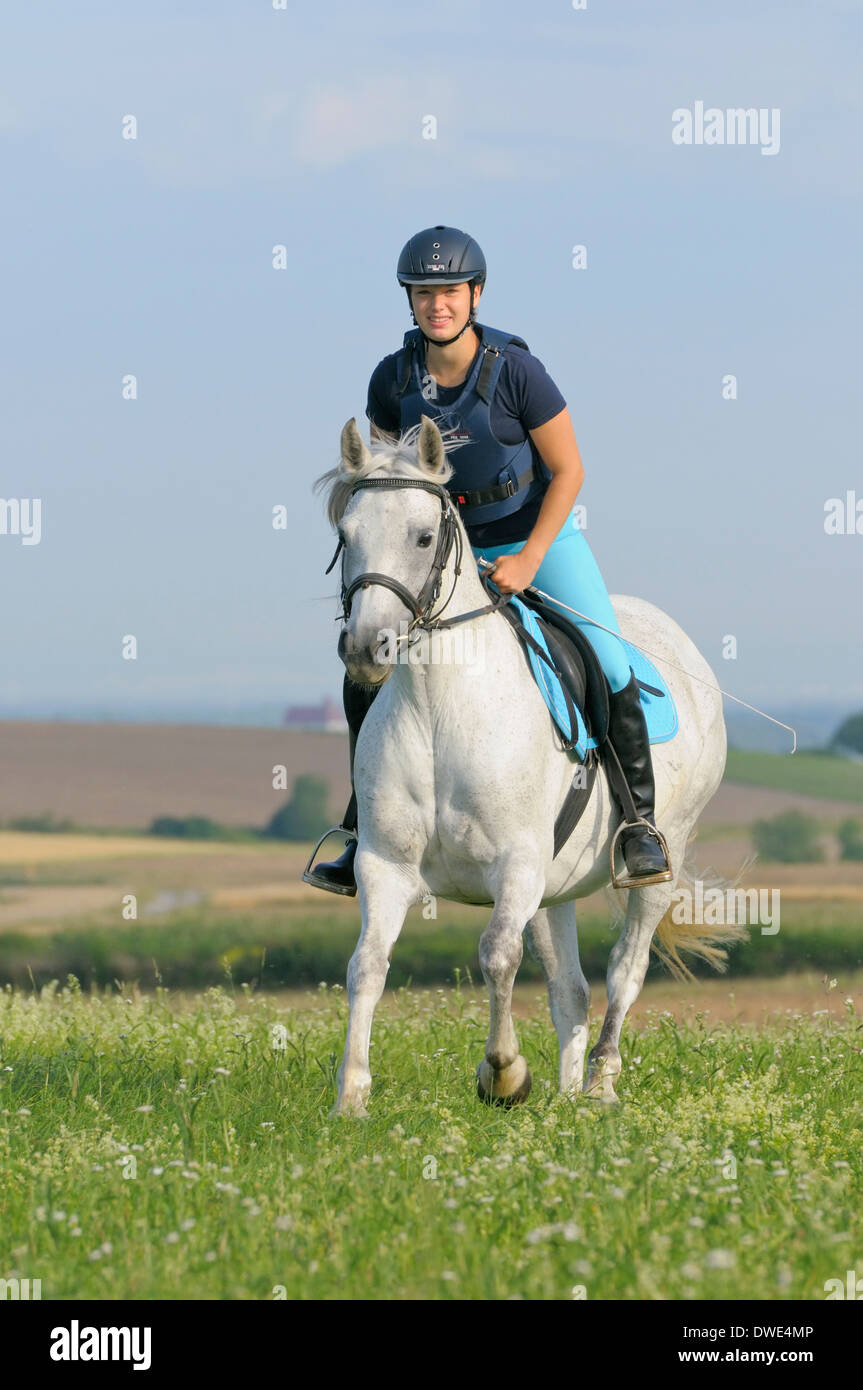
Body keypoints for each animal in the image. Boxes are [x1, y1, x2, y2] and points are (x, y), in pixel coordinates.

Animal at [316, 416, 741, 1117]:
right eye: (345, 536)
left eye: (423, 536)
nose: (366, 649)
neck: (438, 704)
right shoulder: (386, 866)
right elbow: (366, 964)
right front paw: (351, 1097)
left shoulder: (515, 864)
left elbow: (496, 955)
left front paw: (504, 1075)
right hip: (555, 885)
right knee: (571, 987)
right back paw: (567, 1098)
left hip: (662, 855)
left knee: (625, 969)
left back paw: (599, 1084)